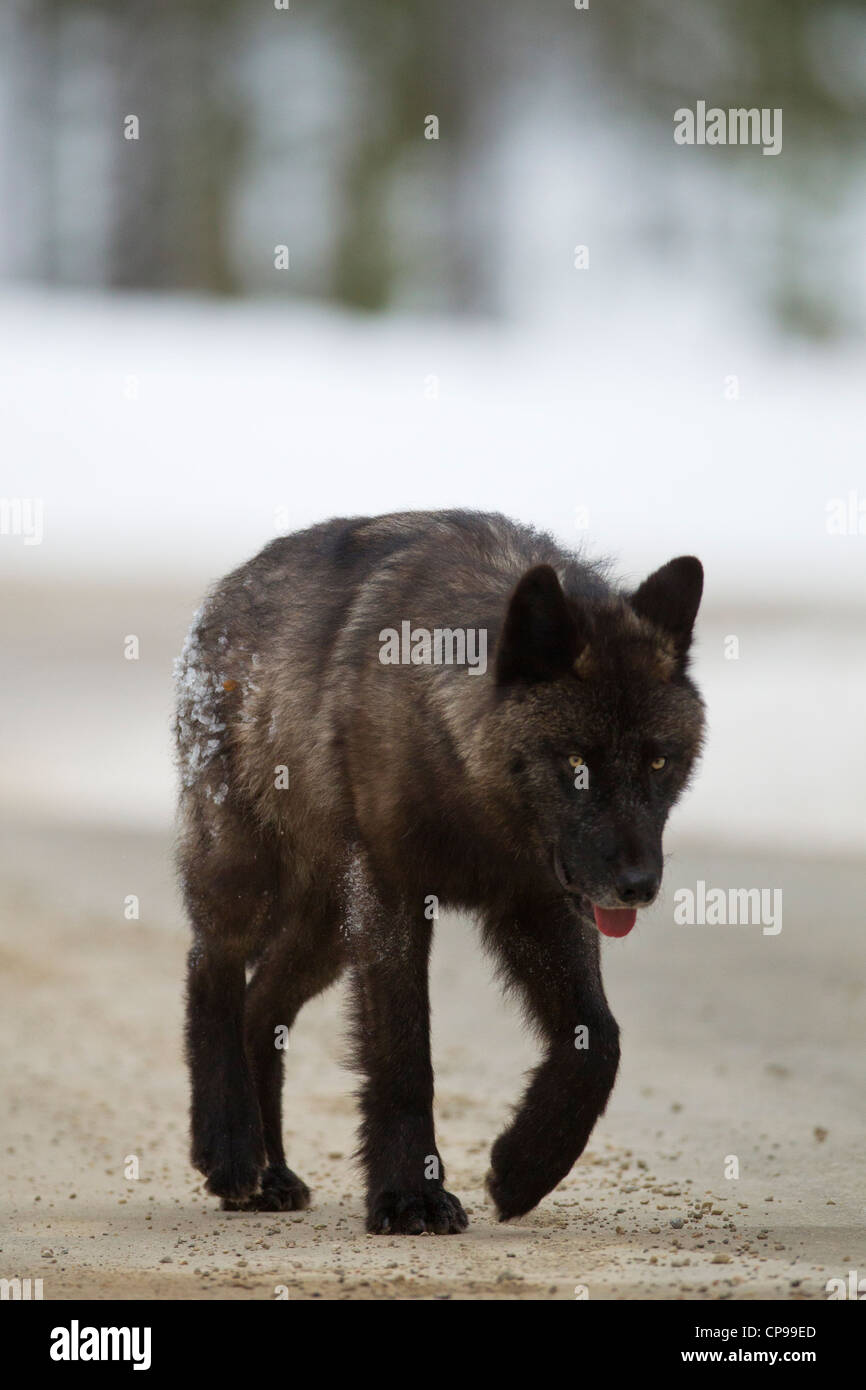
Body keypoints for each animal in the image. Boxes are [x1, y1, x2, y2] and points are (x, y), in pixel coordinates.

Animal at [174, 510, 705, 1233]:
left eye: (658, 762)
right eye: (577, 763)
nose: (638, 887)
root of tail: (226, 590)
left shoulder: (537, 902)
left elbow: (598, 1039)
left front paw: (525, 1166)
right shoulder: (393, 896)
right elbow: (403, 1055)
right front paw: (410, 1196)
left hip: (331, 931)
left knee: (261, 1008)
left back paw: (270, 1175)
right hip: (251, 877)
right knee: (214, 971)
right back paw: (230, 1148)